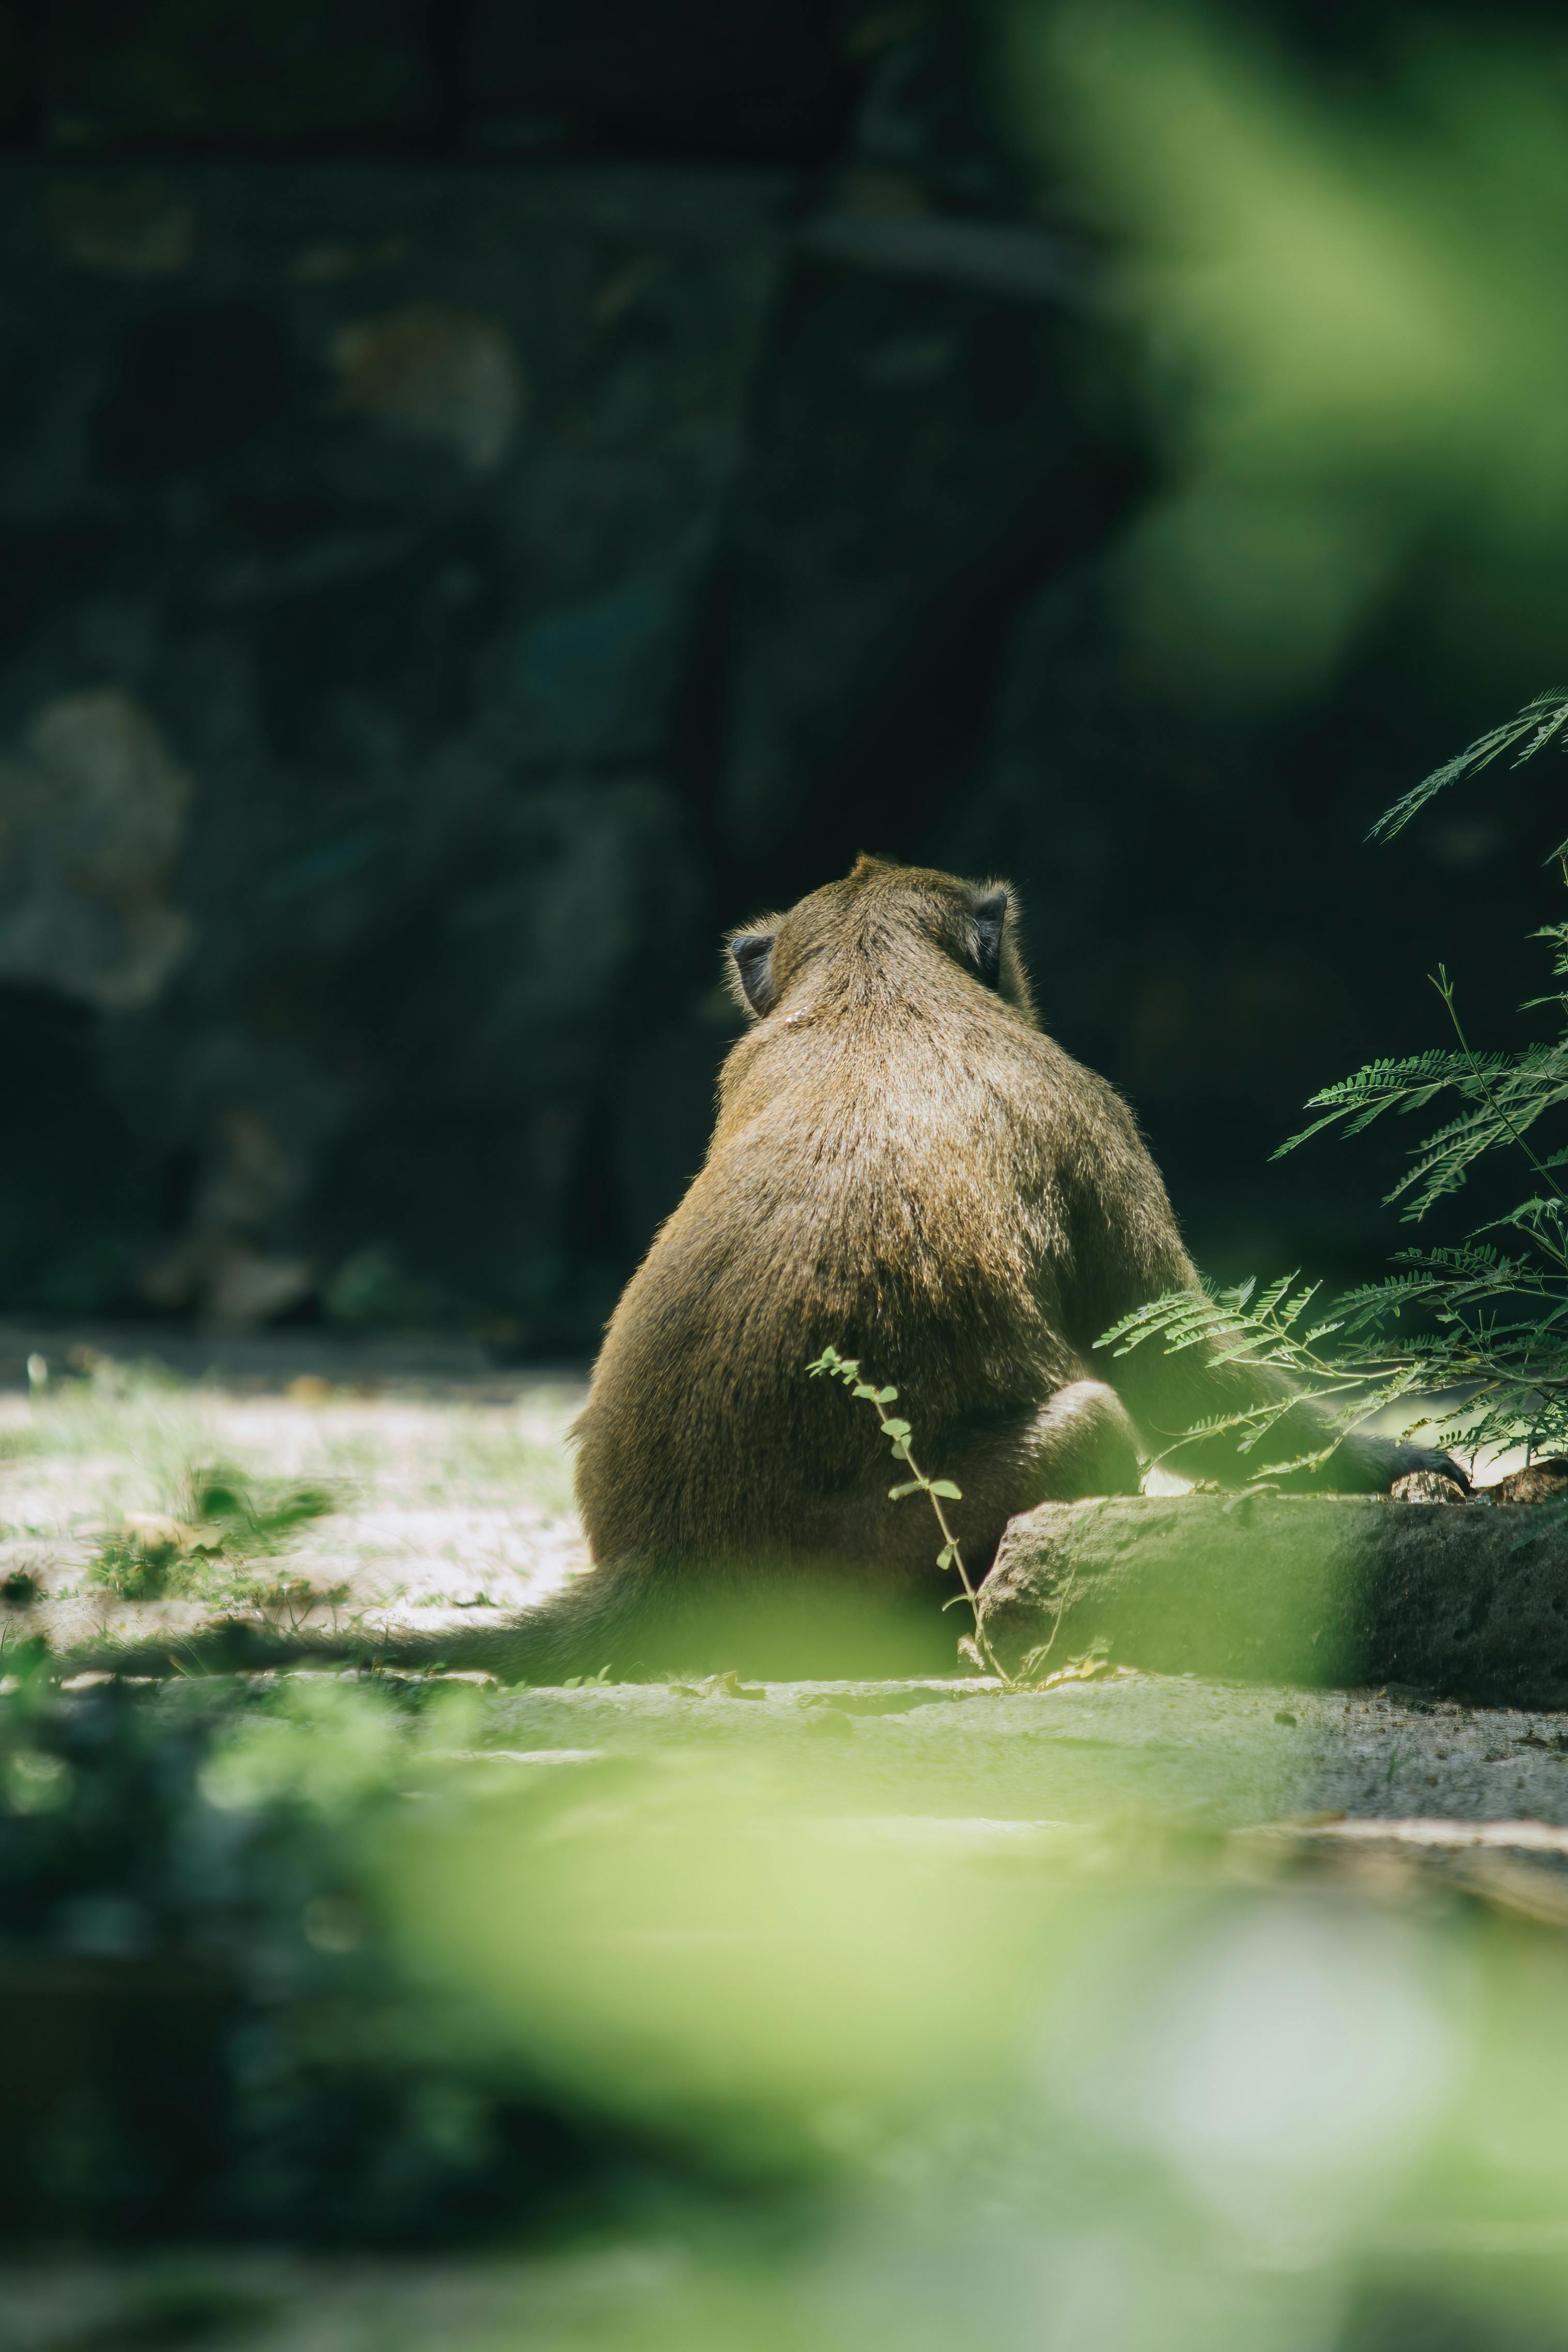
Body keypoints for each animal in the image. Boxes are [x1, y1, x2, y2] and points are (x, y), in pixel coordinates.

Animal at [73, 855, 1461, 1685]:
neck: (875, 977)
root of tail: (664, 1560)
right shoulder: (1086, 1112)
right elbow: (1171, 1367)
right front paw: (1381, 1459)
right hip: (865, 1554)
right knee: (1092, 1423)